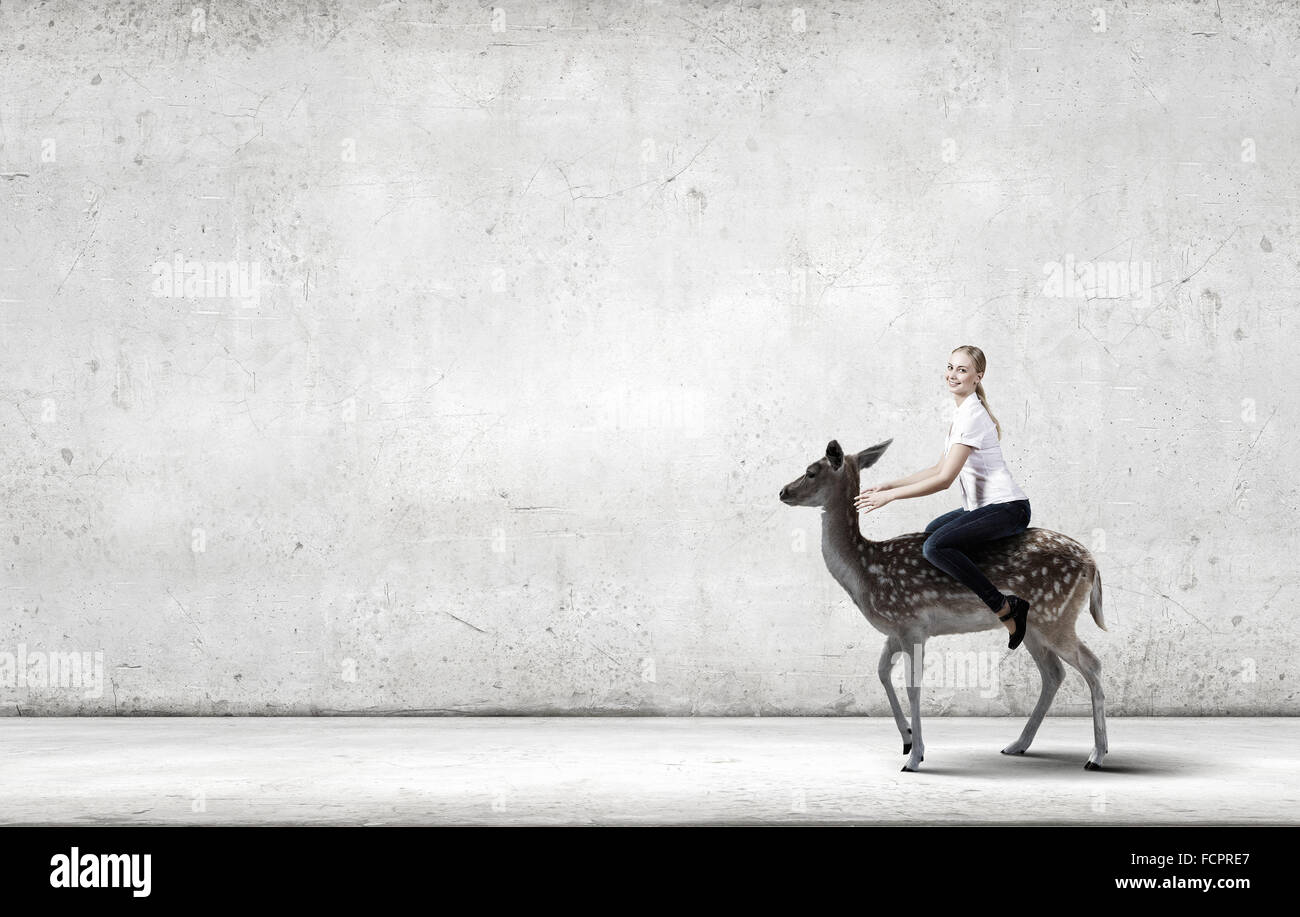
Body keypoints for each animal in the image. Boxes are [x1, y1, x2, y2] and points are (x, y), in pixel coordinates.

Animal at [779, 438, 1108, 772]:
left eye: (811, 471)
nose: (782, 491)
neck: (866, 572)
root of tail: (1092, 563)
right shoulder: (896, 631)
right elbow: (882, 672)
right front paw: (907, 739)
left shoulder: (911, 624)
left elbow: (913, 687)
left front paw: (914, 758)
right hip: (1034, 627)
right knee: (1054, 673)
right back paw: (1017, 744)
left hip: (1056, 614)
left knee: (1091, 664)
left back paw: (1096, 755)